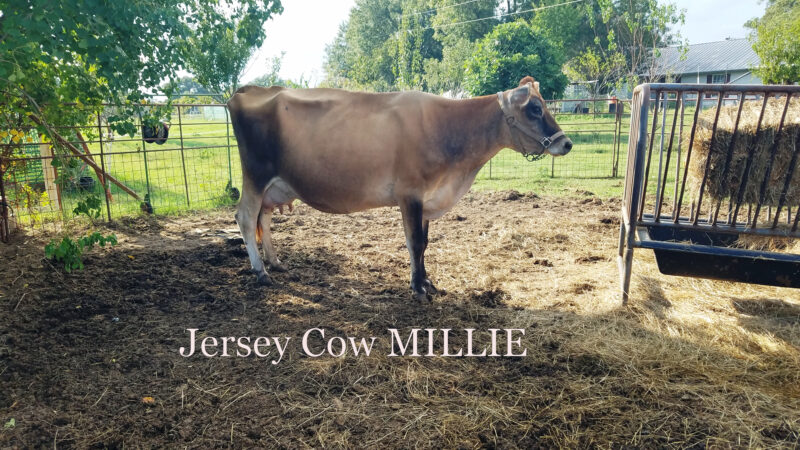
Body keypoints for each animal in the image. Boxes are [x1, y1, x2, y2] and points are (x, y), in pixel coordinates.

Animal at [227, 76, 572, 301]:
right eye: (534, 109)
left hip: (273, 185)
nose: (567, 143)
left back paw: (275, 262)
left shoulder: (428, 199)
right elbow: (415, 243)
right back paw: (261, 271)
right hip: (255, 175)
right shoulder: (410, 194)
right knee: (245, 217)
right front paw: (418, 288)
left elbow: (425, 243)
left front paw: (427, 281)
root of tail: (250, 90)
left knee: (263, 218)